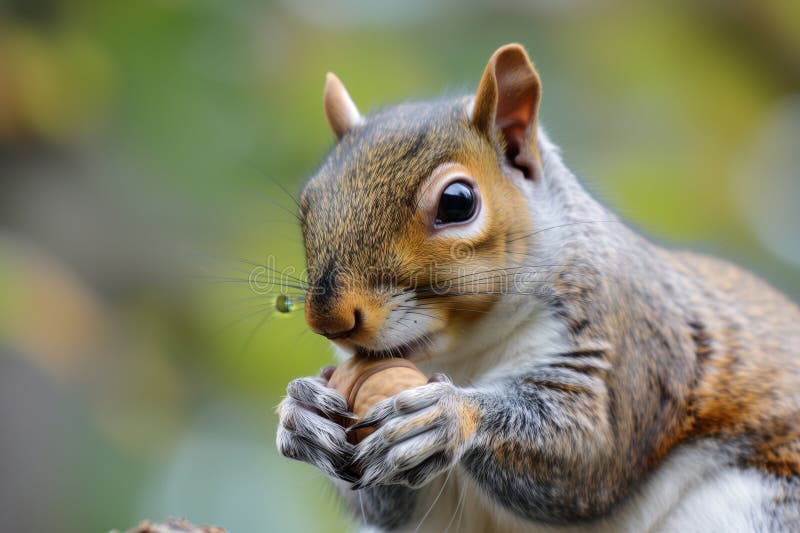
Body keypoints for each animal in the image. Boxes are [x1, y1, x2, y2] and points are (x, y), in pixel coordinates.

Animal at [276, 44, 800, 531]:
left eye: (457, 202)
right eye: (307, 205)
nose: (328, 319)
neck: (464, 354)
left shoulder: (622, 338)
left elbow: (592, 452)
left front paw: (452, 414)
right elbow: (385, 501)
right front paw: (301, 413)